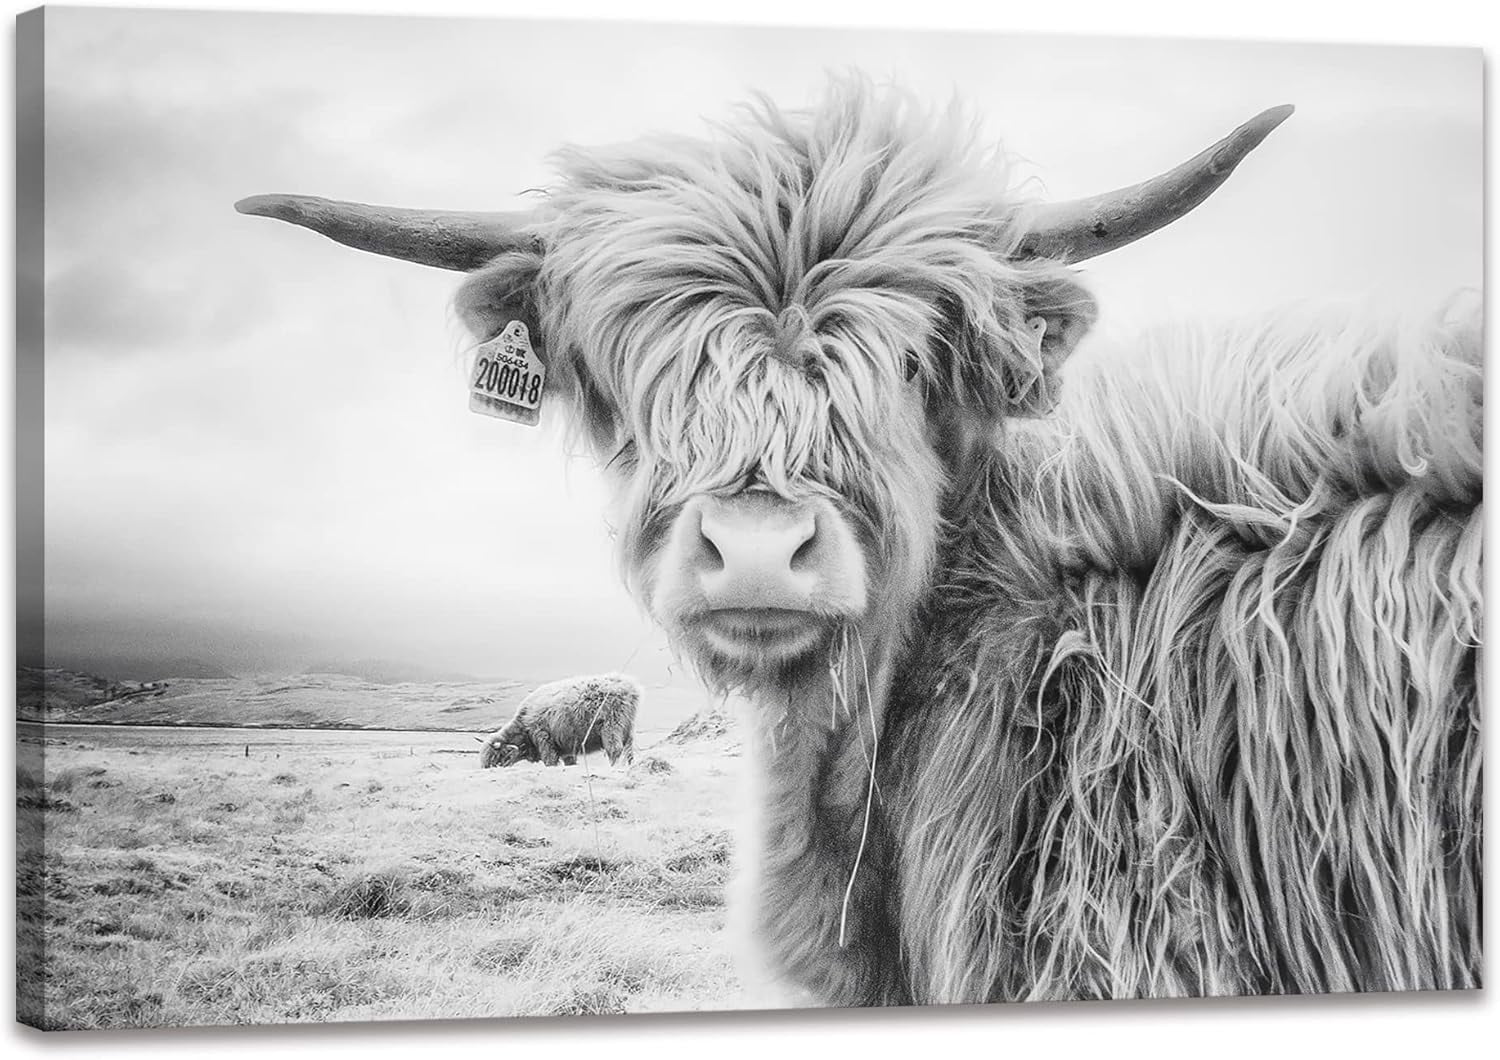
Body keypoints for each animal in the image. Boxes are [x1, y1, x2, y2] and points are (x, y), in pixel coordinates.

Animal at [478, 673, 640, 769]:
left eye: (497, 759)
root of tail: (628, 685)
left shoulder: (545, 740)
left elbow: (550, 762)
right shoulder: (567, 749)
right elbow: (570, 762)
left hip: (612, 726)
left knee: (615, 749)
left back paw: (613, 767)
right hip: (627, 727)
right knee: (629, 751)